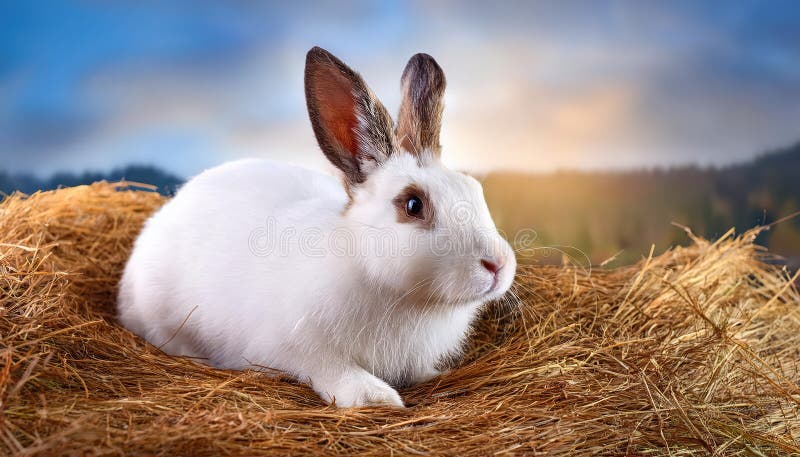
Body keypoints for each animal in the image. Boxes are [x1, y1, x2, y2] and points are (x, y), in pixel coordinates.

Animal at [117, 47, 516, 408]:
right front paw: (375, 398)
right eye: (413, 204)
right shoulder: (296, 347)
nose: (497, 265)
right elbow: (333, 370)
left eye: (473, 188)